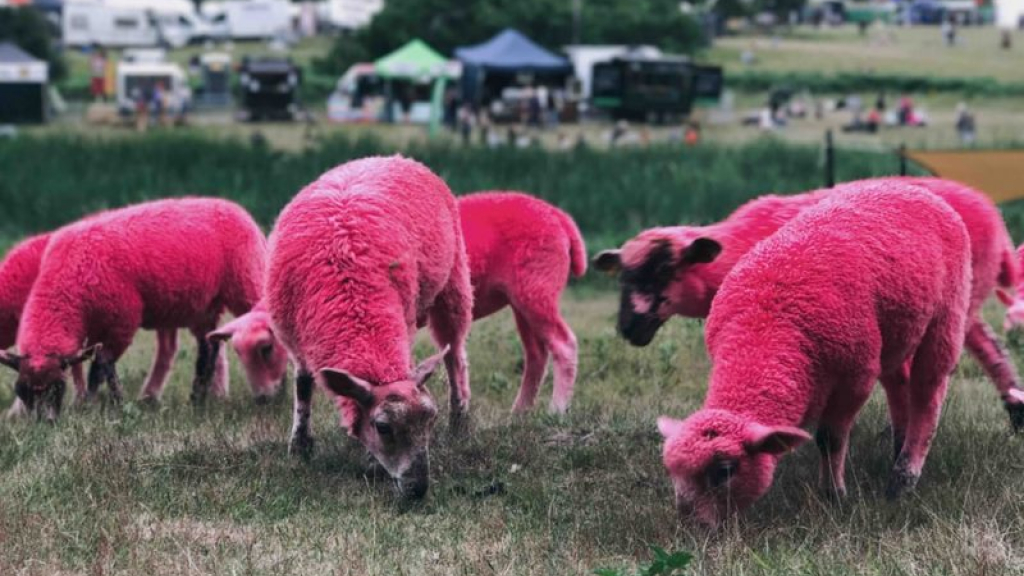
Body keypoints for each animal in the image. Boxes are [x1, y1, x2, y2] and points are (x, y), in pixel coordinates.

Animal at [0, 198, 267, 420]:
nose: (44, 422)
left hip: (245, 282)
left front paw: (106, 403)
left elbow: (101, 365)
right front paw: (87, 403)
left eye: (56, 389)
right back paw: (197, 399)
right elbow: (89, 365)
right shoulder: (92, 326)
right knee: (209, 346)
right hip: (203, 305)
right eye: (22, 391)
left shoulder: (123, 319)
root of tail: (235, 208)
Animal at [265, 156, 473, 499]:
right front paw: (300, 446)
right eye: (383, 427)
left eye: (430, 419)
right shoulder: (295, 338)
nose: (418, 488)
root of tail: (395, 156)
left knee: (455, 355)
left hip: (454, 281)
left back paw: (461, 420)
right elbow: (303, 386)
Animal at [458, 192, 587, 413]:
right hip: (523, 299)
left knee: (564, 345)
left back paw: (556, 410)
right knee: (537, 354)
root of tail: (559, 216)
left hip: (538, 289)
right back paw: (520, 413)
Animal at [596, 177, 1024, 429]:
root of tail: (995, 220)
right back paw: (1015, 408)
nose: (629, 327)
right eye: (623, 275)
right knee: (990, 346)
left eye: (666, 269)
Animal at [657, 181, 971, 527]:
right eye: (671, 470)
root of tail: (908, 186)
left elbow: (829, 437)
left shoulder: (856, 376)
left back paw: (903, 478)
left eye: (725, 470)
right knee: (899, 385)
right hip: (895, 332)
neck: (765, 328)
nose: (691, 526)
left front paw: (834, 495)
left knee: (928, 392)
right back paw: (898, 448)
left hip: (946, 313)